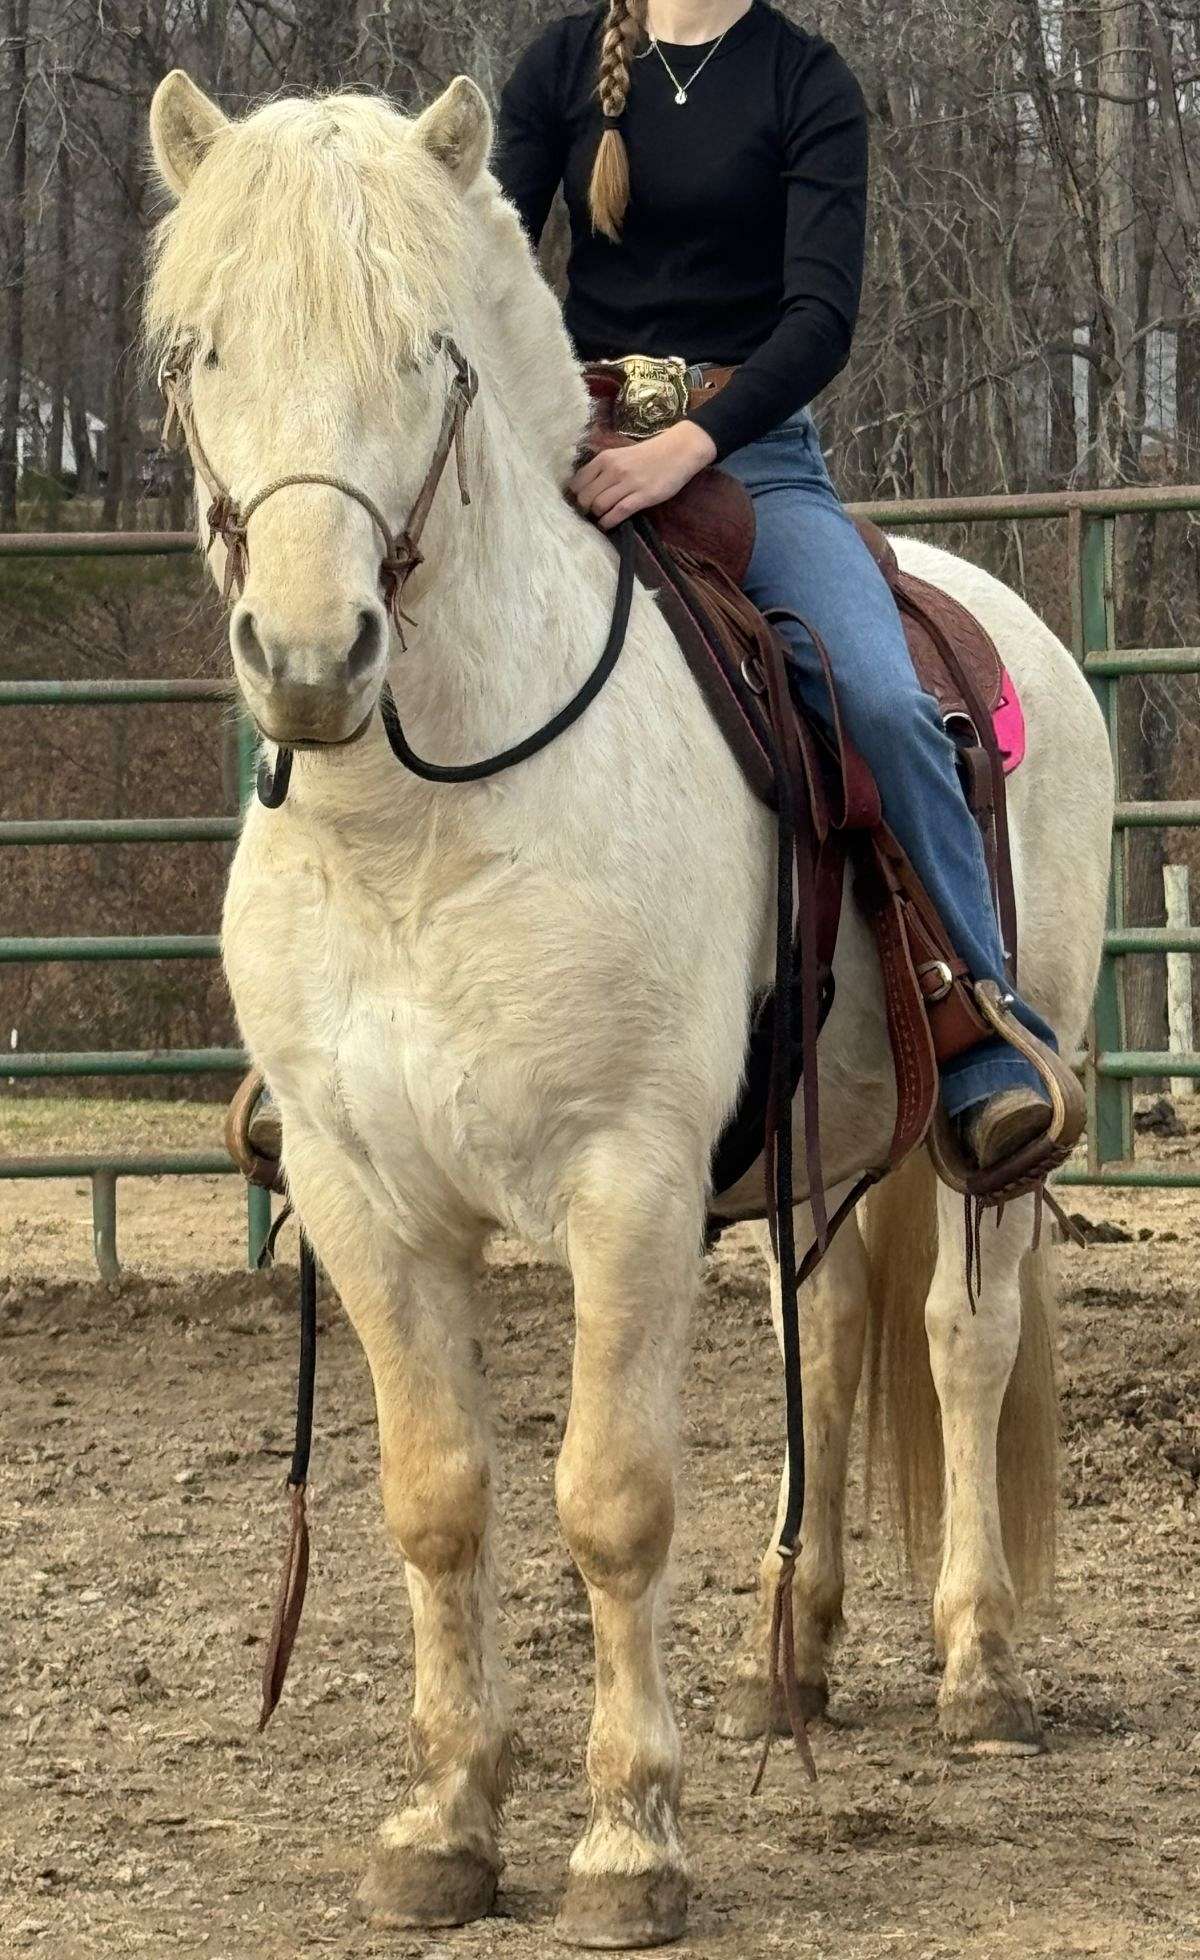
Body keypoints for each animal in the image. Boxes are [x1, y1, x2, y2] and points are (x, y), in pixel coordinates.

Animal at [145, 70, 1114, 1949]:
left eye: (426, 352)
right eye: (199, 350)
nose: (309, 654)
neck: (420, 835)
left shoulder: (628, 1186)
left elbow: (610, 1501)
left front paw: (627, 1841)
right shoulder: (365, 1205)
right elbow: (437, 1504)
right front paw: (445, 1827)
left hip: (998, 1131)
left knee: (961, 1345)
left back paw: (977, 1667)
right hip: (819, 1153)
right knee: (829, 1337)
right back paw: (786, 1663)